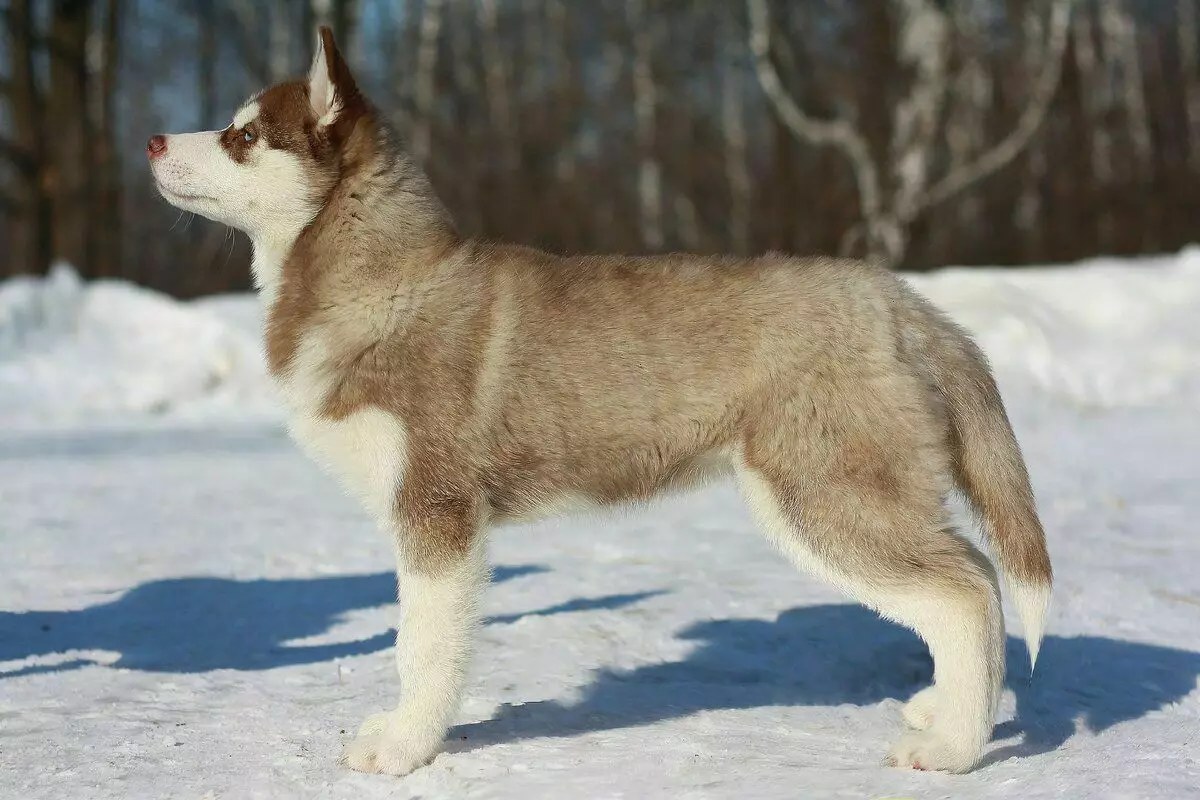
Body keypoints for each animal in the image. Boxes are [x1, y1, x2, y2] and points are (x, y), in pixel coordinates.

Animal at [147, 26, 1051, 777]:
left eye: (244, 136)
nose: (152, 139)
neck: (386, 282)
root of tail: (901, 303)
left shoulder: (435, 511)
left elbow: (421, 647)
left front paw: (405, 748)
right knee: (965, 581)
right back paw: (946, 709)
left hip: (826, 496)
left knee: (967, 590)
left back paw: (954, 746)